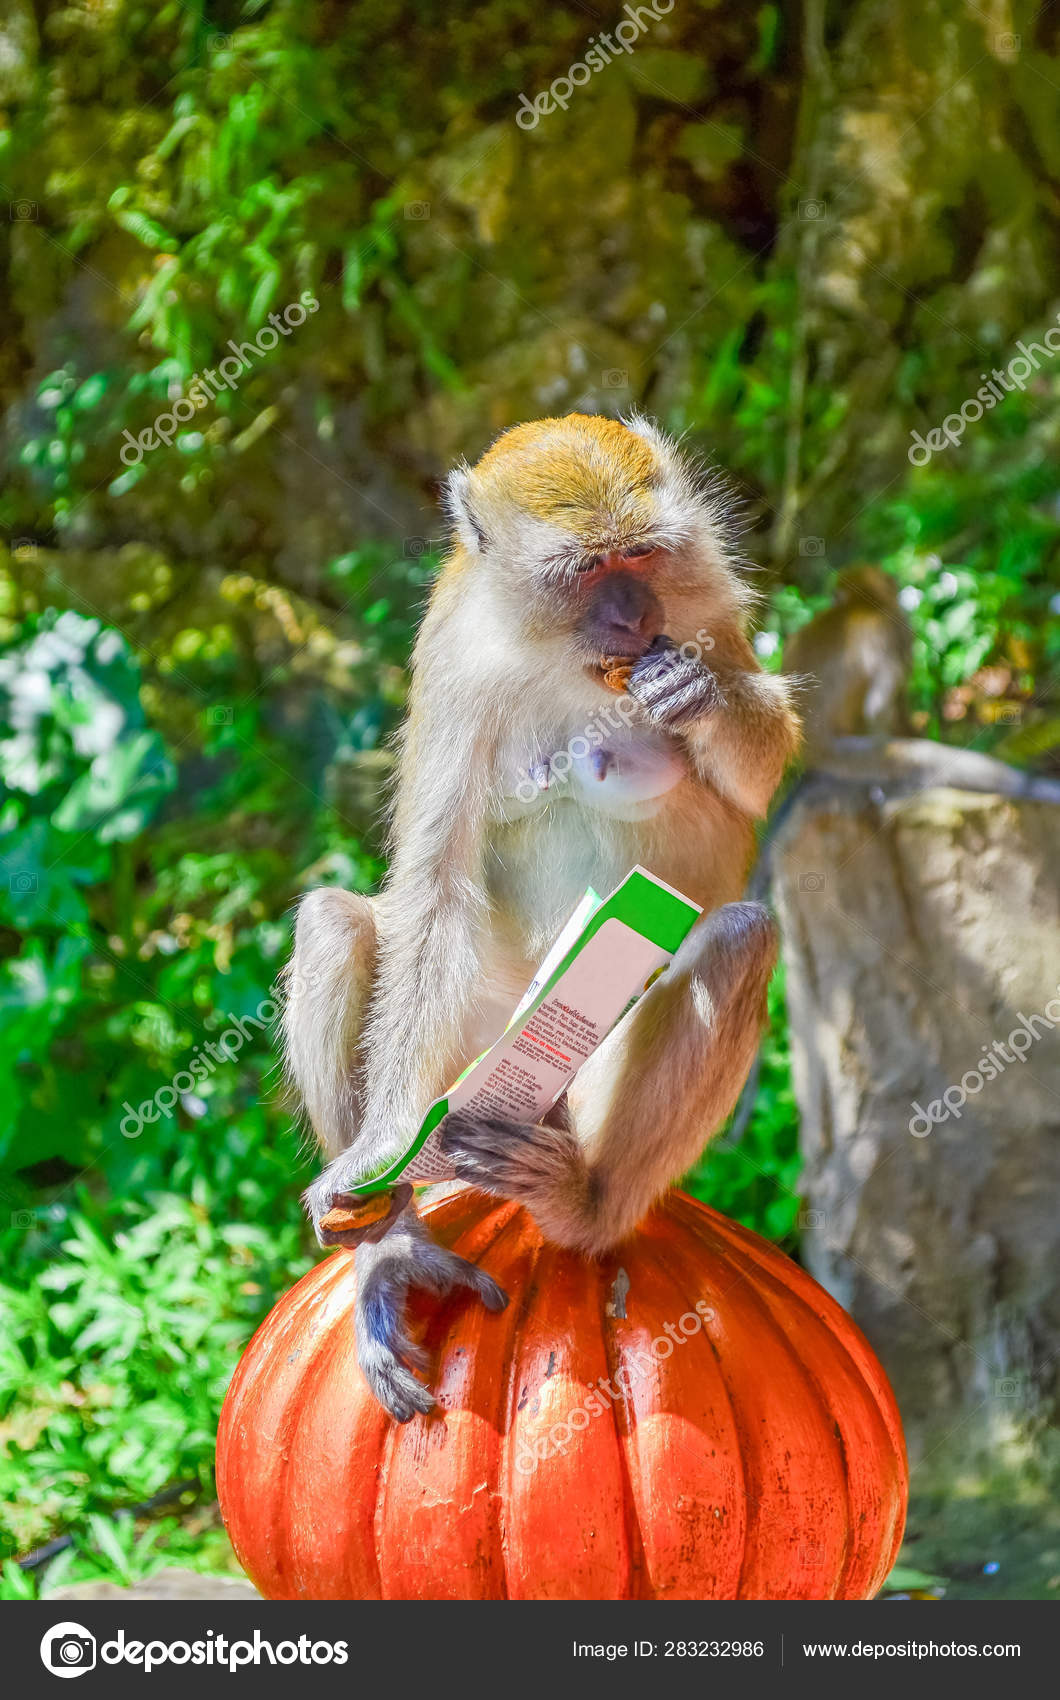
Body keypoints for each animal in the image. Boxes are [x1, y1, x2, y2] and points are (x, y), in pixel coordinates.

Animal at [282, 413, 801, 1422]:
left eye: (640, 553)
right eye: (583, 570)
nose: (635, 618)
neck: (568, 660)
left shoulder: (707, 594)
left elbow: (758, 780)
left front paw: (703, 698)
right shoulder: (453, 657)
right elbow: (435, 892)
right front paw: (379, 1153)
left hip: (577, 1095)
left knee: (737, 938)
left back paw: (584, 1209)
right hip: (474, 1050)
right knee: (334, 921)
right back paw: (390, 1245)